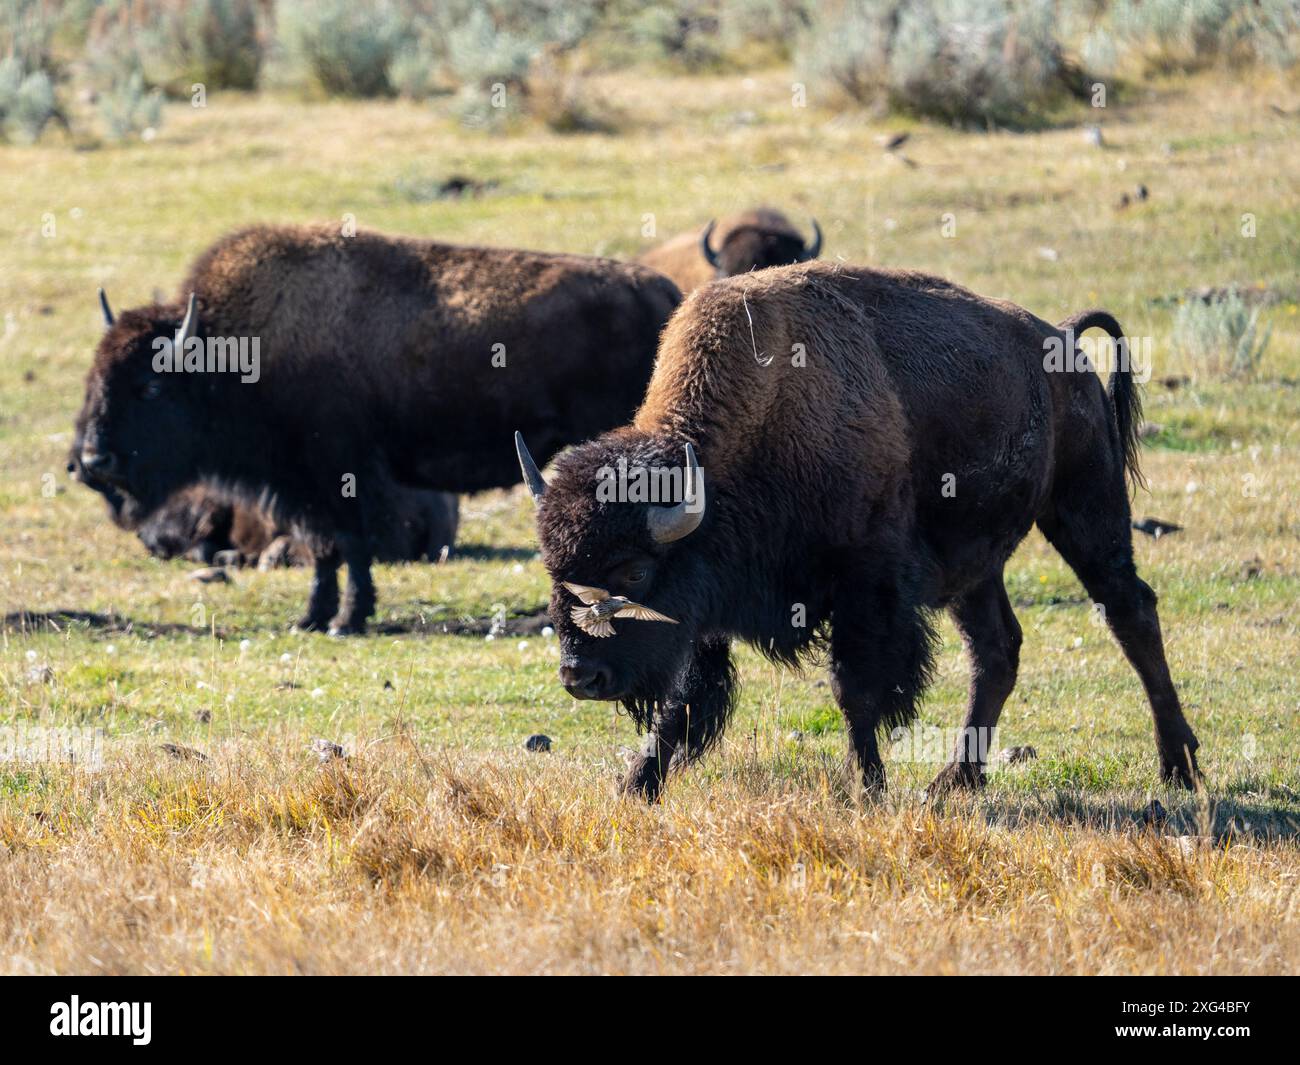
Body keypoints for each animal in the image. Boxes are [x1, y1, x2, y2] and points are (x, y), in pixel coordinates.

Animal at [75, 224, 679, 633]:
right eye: (95, 374)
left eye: (150, 387)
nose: (92, 462)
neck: (231, 350)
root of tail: (663, 294)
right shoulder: (303, 487)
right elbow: (324, 549)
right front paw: (312, 618)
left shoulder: (337, 474)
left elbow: (347, 543)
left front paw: (347, 618)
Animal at [517, 261, 1200, 801]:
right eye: (554, 568)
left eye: (634, 570)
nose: (581, 678)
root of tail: (1062, 340)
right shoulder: (705, 614)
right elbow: (682, 704)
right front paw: (635, 786)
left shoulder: (865, 589)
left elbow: (855, 691)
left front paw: (867, 787)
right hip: (973, 568)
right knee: (997, 651)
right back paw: (953, 780)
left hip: (1085, 508)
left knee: (1129, 610)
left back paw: (1179, 766)